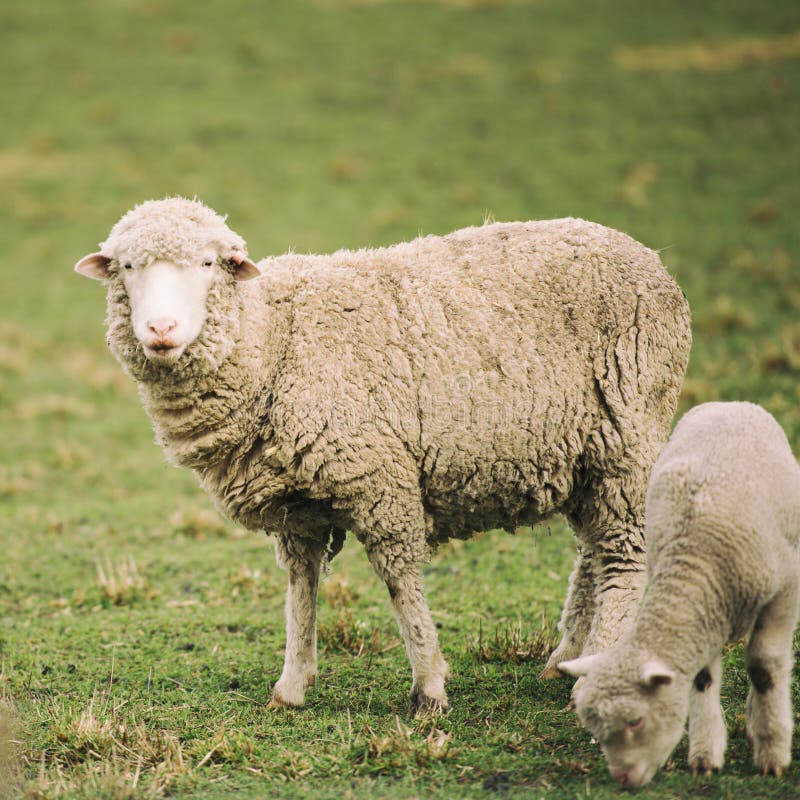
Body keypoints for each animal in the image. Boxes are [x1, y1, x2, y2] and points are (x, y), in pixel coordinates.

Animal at [75, 197, 691, 713]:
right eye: (126, 267)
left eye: (207, 264)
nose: (161, 328)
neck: (274, 339)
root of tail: (648, 259)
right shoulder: (296, 506)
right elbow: (301, 588)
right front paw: (292, 685)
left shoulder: (379, 479)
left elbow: (400, 583)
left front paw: (429, 688)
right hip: (584, 451)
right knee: (593, 550)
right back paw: (565, 659)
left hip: (629, 430)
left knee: (624, 556)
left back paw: (589, 674)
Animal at [560, 401, 800, 787]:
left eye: (636, 721)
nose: (623, 778)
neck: (698, 563)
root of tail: (727, 404)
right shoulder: (702, 620)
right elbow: (702, 679)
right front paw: (705, 756)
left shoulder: (783, 593)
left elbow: (764, 667)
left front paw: (772, 754)